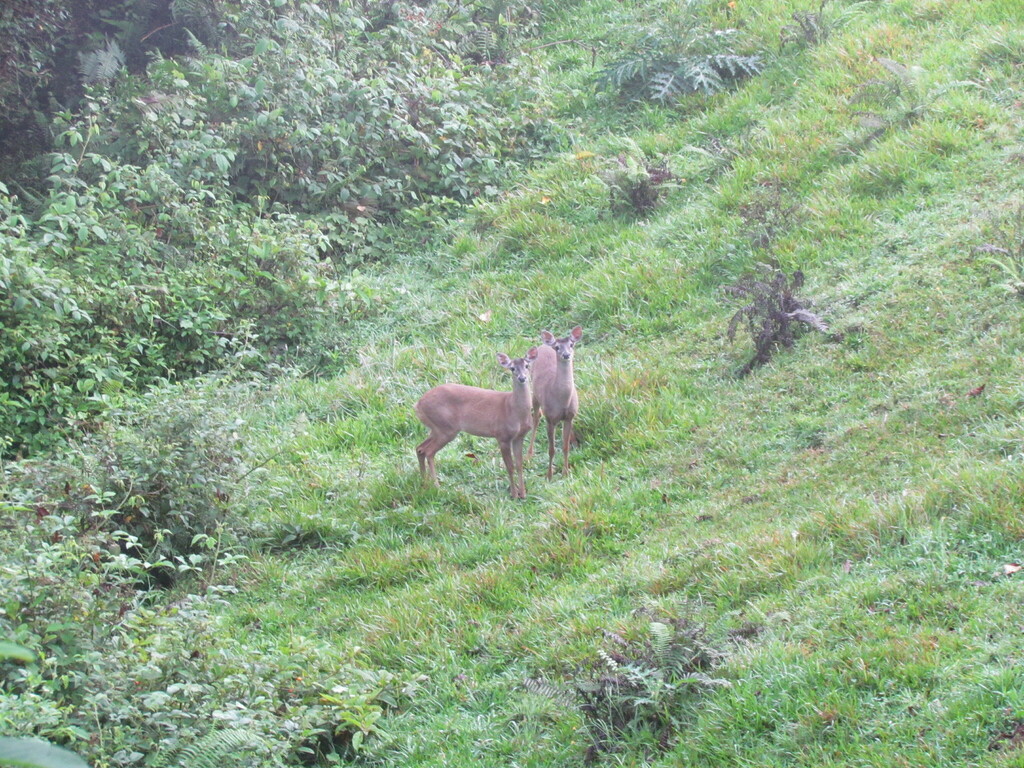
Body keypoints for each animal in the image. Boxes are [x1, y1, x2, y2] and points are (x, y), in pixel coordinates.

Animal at [415, 347, 539, 499]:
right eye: (512, 368)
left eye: (527, 366)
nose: (522, 378)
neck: (513, 409)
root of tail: (418, 404)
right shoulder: (502, 435)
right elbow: (509, 466)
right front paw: (514, 494)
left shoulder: (519, 436)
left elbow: (519, 464)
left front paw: (523, 493)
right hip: (445, 427)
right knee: (429, 452)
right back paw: (437, 486)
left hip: (437, 428)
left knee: (420, 448)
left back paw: (424, 481)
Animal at [527, 325, 582, 480]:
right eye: (557, 347)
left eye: (571, 344)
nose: (566, 355)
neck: (562, 401)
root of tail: (545, 345)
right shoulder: (550, 418)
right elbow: (551, 449)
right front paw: (549, 475)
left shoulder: (569, 417)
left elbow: (565, 446)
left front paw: (565, 473)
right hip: (534, 393)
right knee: (536, 417)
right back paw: (529, 454)